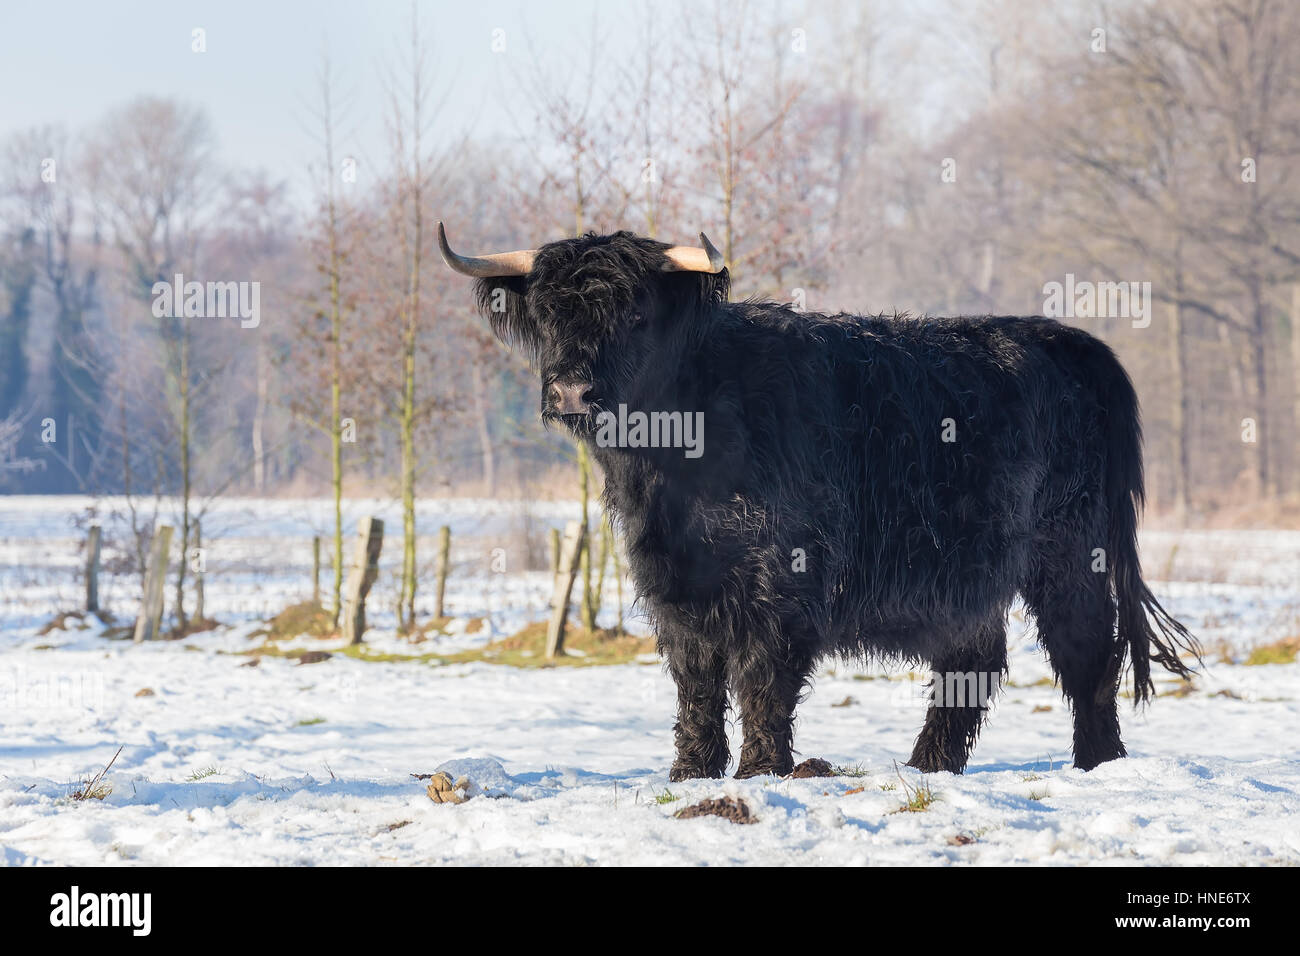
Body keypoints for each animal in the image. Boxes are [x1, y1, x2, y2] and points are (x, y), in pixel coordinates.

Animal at [438, 223, 1200, 780]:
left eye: (631, 310)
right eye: (546, 312)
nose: (571, 390)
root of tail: (1066, 339)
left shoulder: (783, 578)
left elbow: (761, 677)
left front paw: (759, 772)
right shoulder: (672, 583)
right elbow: (695, 681)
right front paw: (690, 772)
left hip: (1071, 552)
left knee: (1087, 653)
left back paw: (1099, 763)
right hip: (970, 576)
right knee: (973, 660)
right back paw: (926, 767)